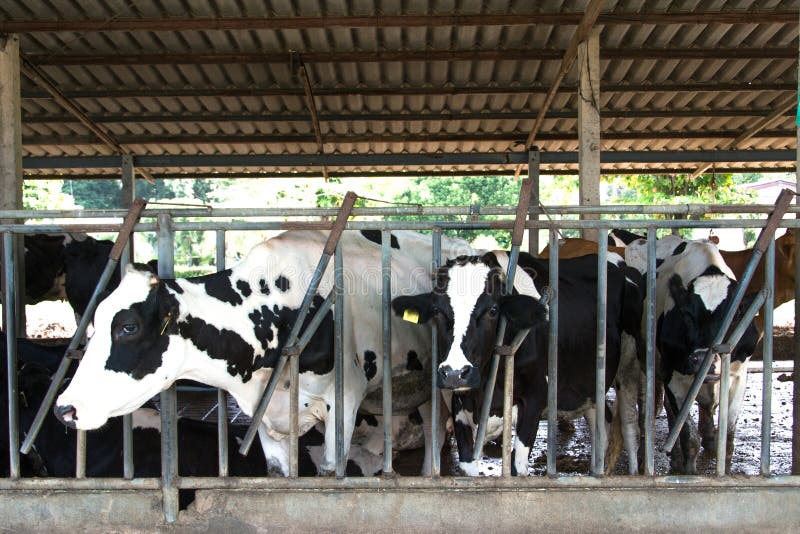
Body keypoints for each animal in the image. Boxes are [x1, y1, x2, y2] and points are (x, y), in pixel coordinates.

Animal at [54, 229, 473, 476]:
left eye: (128, 327)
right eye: (95, 321)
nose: (64, 409)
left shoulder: (344, 400)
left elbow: (331, 471)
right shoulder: (264, 416)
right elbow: (280, 474)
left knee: (437, 429)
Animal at [392, 251, 644, 476]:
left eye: (493, 310)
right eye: (437, 311)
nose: (455, 373)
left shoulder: (535, 397)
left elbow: (517, 467)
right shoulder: (460, 402)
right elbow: (468, 466)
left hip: (629, 367)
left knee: (630, 426)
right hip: (589, 385)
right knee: (601, 425)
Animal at [653, 240, 759, 473]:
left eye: (736, 315)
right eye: (686, 314)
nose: (702, 359)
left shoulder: (739, 375)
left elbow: (727, 436)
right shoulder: (674, 375)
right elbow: (688, 434)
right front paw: (690, 472)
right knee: (671, 412)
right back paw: (676, 458)